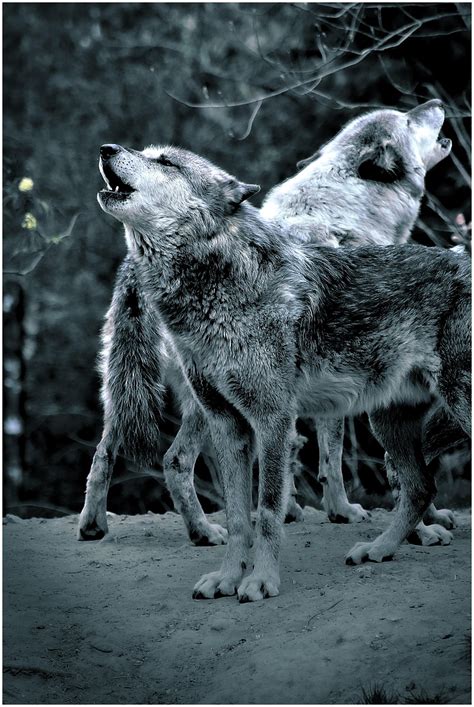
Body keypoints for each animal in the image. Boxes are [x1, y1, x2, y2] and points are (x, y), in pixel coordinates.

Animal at [83, 140, 470, 602]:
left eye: (166, 161)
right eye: (145, 152)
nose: (106, 148)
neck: (221, 285)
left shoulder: (272, 420)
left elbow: (267, 510)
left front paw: (261, 581)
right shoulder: (227, 425)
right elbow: (237, 517)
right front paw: (227, 578)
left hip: (446, 410)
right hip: (387, 420)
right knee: (419, 486)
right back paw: (378, 549)